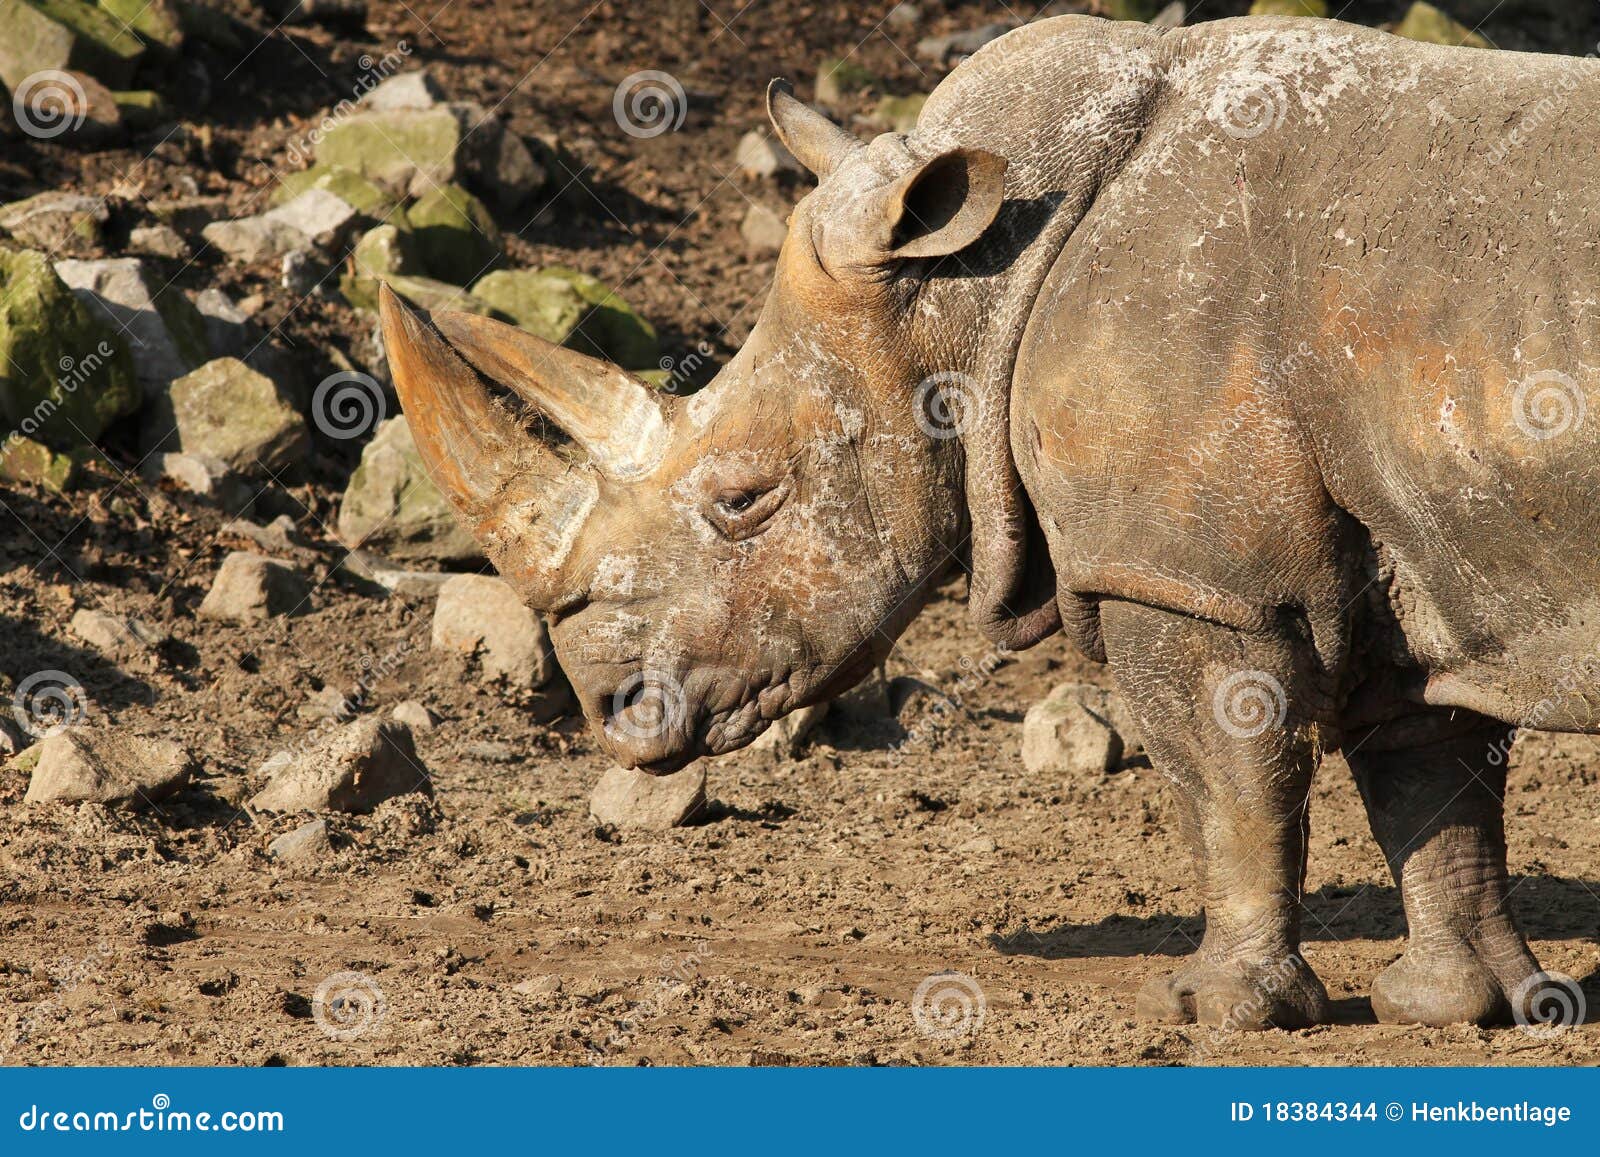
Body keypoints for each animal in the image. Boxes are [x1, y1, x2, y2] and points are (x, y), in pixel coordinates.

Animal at [378, 13, 1600, 1031]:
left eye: (743, 500)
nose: (611, 708)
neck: (973, 290)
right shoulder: (1411, 525)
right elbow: (1430, 773)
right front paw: (1459, 1005)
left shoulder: (1182, 573)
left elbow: (1229, 779)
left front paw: (1215, 1008)